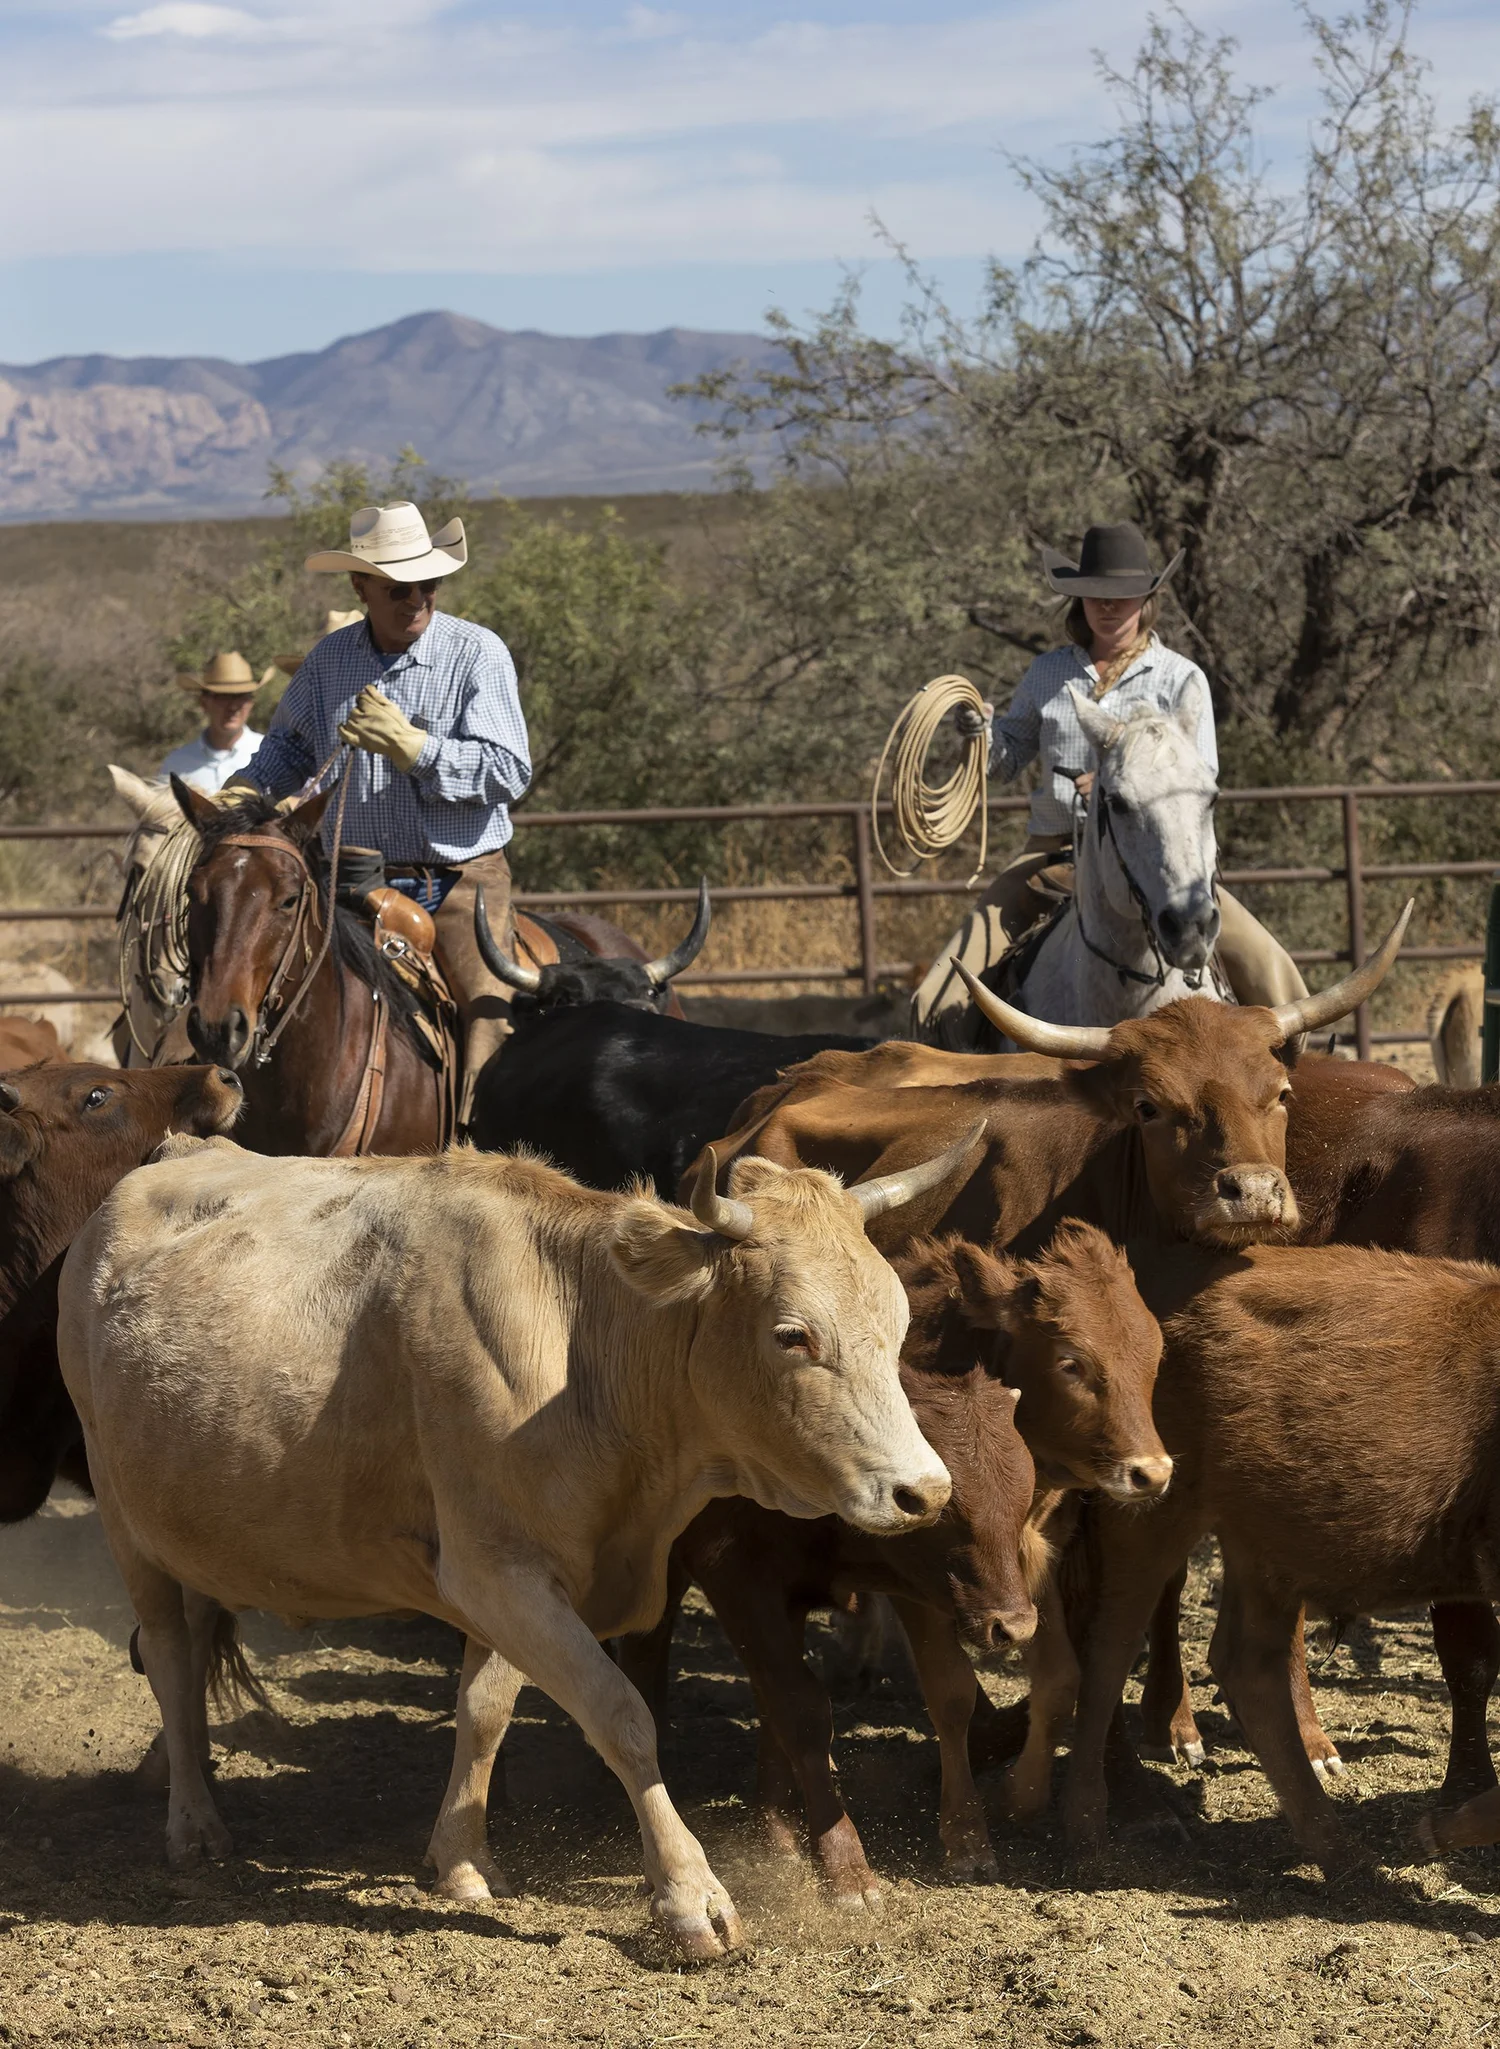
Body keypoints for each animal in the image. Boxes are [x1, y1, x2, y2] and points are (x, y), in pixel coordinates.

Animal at [56, 1125, 977, 1958]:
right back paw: (193, 1824)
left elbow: (486, 1710)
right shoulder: (496, 1571)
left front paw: (462, 1861)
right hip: (124, 1520)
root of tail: (171, 1154)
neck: (581, 1346)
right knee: (169, 1659)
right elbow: (620, 1714)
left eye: (898, 1323)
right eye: (793, 1334)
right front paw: (692, 1898)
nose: (924, 1491)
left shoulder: (513, 1571)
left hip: (194, 1519)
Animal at [1060, 1239, 1500, 1878]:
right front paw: (1435, 1833)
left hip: (1263, 1545)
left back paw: (1343, 1855)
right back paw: (1090, 1834)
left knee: (1246, 1662)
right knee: (1109, 1646)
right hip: (1152, 1515)